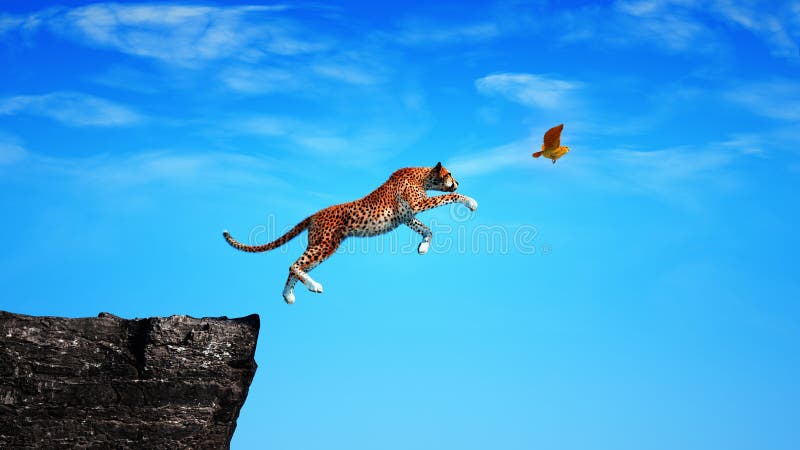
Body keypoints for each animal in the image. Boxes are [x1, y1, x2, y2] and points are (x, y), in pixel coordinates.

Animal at [223, 162, 478, 304]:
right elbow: (449, 198)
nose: (457, 181)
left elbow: (427, 229)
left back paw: (289, 296)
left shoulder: (407, 217)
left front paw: (423, 247)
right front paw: (470, 201)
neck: (423, 177)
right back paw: (314, 286)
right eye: (449, 174)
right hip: (326, 245)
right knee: (294, 264)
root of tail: (314, 214)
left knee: (296, 267)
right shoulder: (417, 205)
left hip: (322, 246)